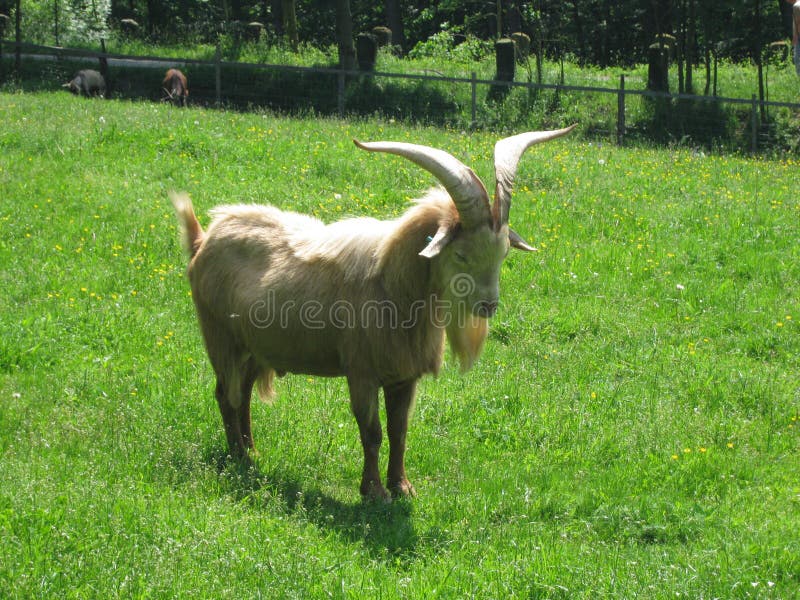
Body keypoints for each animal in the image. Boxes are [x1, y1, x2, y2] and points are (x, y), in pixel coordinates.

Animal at [170, 126, 575, 500]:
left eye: (503, 253)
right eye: (461, 254)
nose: (488, 306)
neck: (391, 286)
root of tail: (202, 238)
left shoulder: (403, 376)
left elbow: (399, 430)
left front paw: (402, 486)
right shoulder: (362, 372)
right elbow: (372, 431)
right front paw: (374, 491)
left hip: (255, 347)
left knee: (244, 393)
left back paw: (252, 450)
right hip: (220, 338)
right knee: (226, 395)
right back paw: (239, 457)